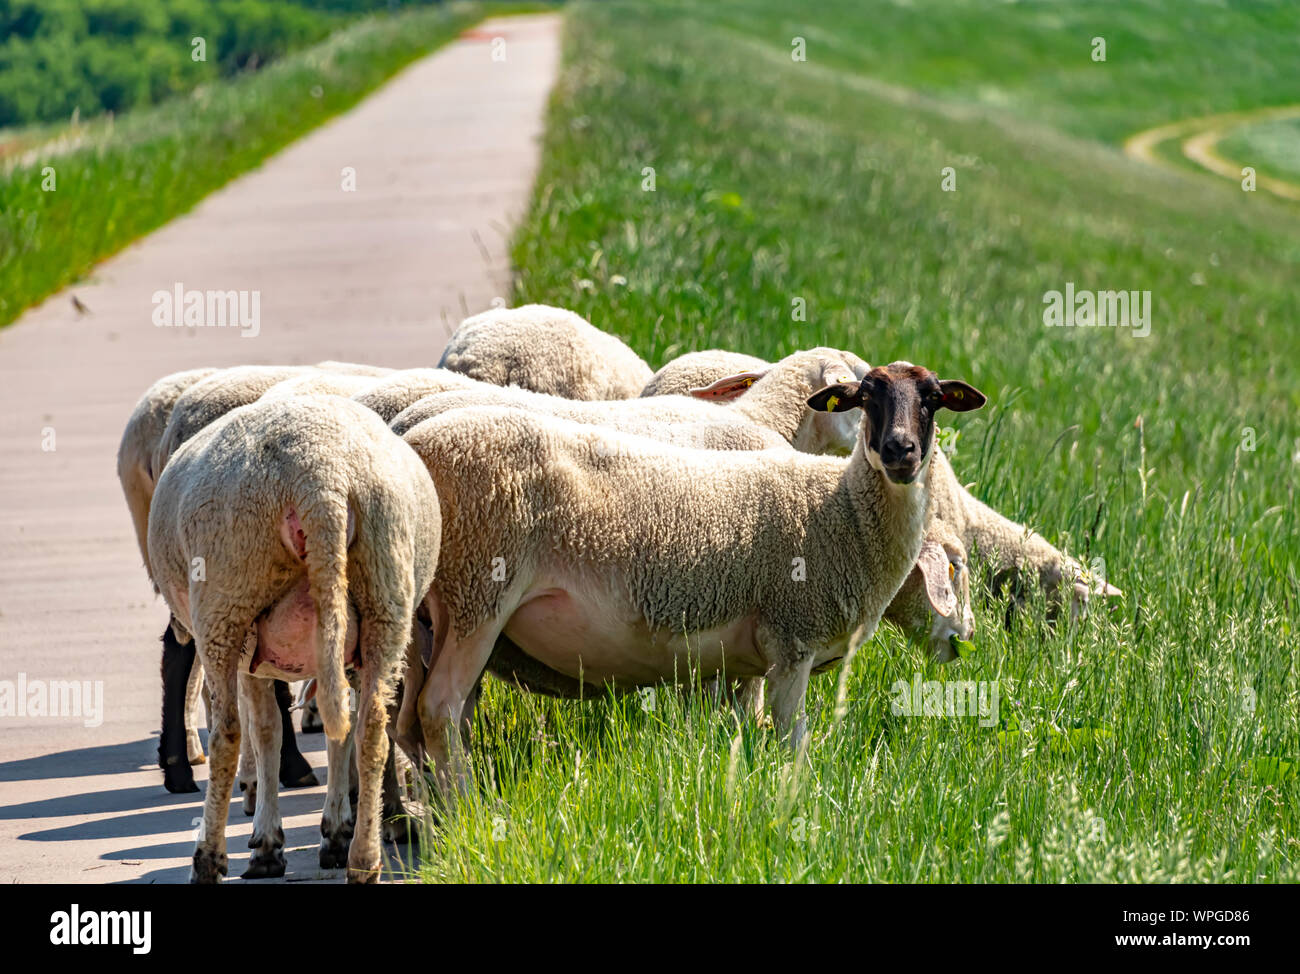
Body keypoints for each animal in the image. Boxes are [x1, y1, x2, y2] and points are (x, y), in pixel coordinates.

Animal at [148, 394, 440, 883]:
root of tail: (323, 481)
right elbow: (329, 729)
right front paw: (334, 833)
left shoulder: (252, 653)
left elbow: (265, 730)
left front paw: (267, 844)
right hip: (386, 596)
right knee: (372, 729)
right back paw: (364, 860)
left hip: (227, 599)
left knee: (227, 734)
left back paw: (208, 858)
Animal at [397, 362, 986, 790]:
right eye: (865, 397)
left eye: (933, 399)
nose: (900, 451)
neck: (840, 516)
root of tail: (416, 445)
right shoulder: (791, 640)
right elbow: (791, 744)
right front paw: (795, 802)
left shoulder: (743, 664)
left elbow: (742, 733)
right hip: (478, 588)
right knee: (440, 710)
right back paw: (470, 812)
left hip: (427, 612)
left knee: (410, 723)